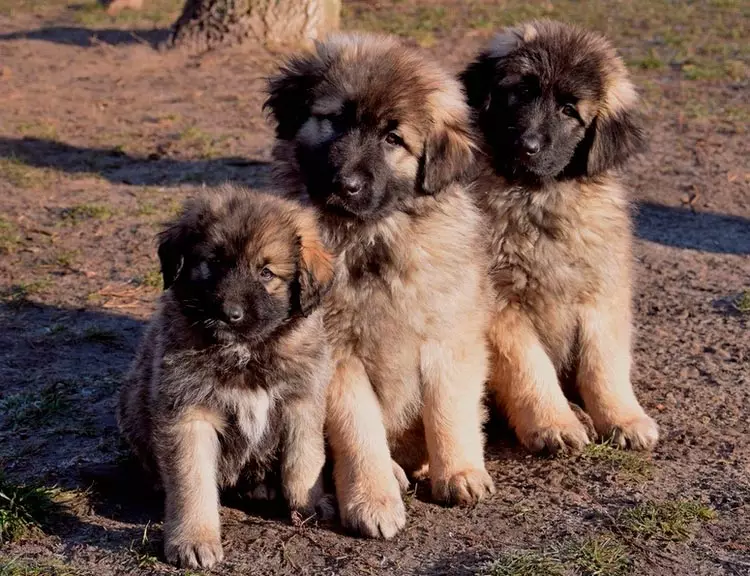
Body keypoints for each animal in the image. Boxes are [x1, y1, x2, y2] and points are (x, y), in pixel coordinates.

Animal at [116, 187, 334, 568]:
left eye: (266, 273)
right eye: (214, 262)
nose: (229, 314)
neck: (244, 351)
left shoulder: (302, 400)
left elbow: (305, 459)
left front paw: (308, 504)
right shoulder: (189, 412)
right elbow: (192, 482)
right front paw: (193, 539)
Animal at [266, 32, 500, 540]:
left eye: (394, 139)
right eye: (335, 119)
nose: (345, 184)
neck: (372, 241)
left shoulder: (449, 337)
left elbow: (448, 407)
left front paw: (459, 471)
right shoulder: (338, 356)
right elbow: (360, 430)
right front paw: (372, 499)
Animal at [462, 20, 660, 454]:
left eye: (570, 111)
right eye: (521, 92)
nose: (527, 145)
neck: (539, 200)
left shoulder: (602, 295)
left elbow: (603, 365)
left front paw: (623, 417)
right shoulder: (503, 308)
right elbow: (530, 369)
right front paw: (552, 423)